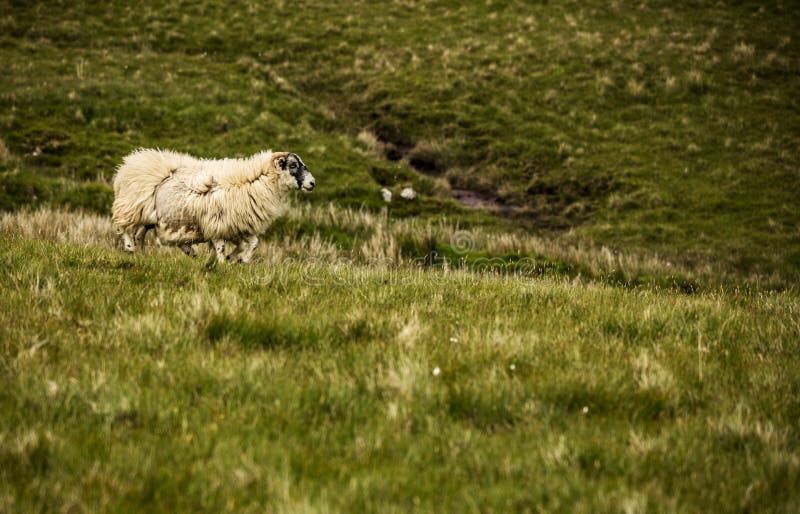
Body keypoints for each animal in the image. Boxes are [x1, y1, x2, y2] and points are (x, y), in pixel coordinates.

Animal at [111, 149, 315, 262]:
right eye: (293, 165)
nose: (312, 183)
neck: (254, 181)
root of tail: (131, 163)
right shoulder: (216, 224)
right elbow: (220, 247)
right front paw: (223, 263)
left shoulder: (236, 226)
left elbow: (252, 243)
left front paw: (239, 260)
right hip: (132, 205)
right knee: (123, 227)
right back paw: (130, 247)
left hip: (154, 217)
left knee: (140, 234)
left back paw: (145, 254)